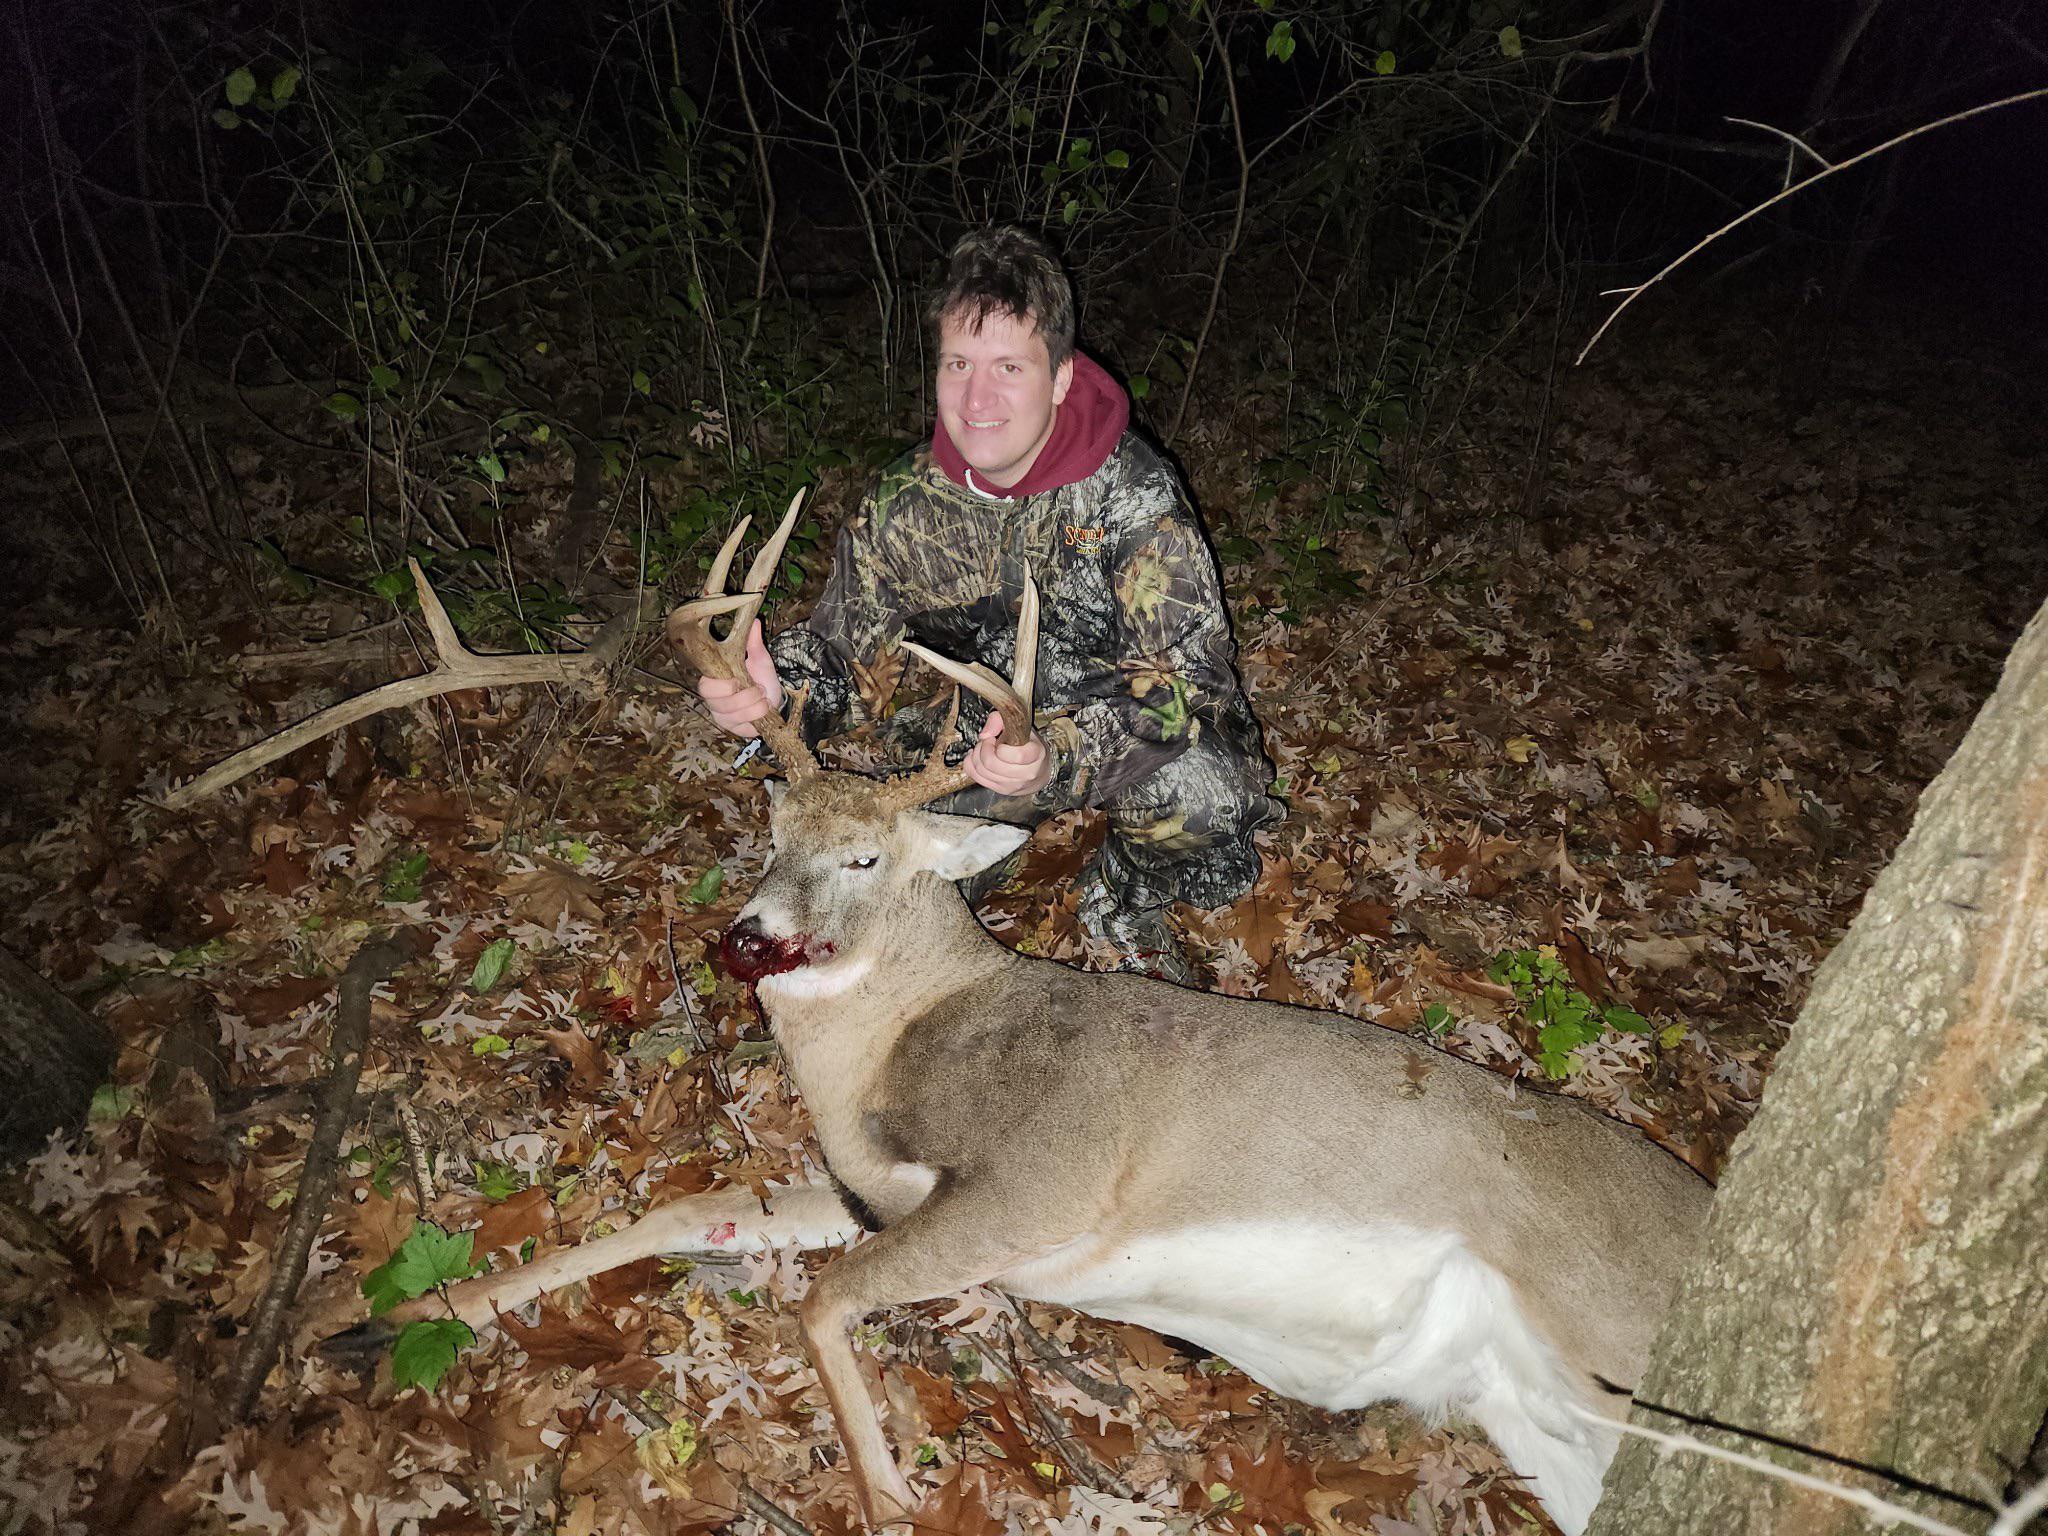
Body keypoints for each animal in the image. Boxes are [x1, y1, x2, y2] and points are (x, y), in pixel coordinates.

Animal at [328, 496, 1713, 1536]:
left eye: (867, 858)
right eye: (772, 832)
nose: (748, 937)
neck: (888, 1049)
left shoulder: (1039, 1179)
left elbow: (820, 1301)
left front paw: (891, 1498)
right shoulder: (869, 1187)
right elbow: (680, 1209)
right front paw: (390, 1319)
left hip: (1611, 1333)